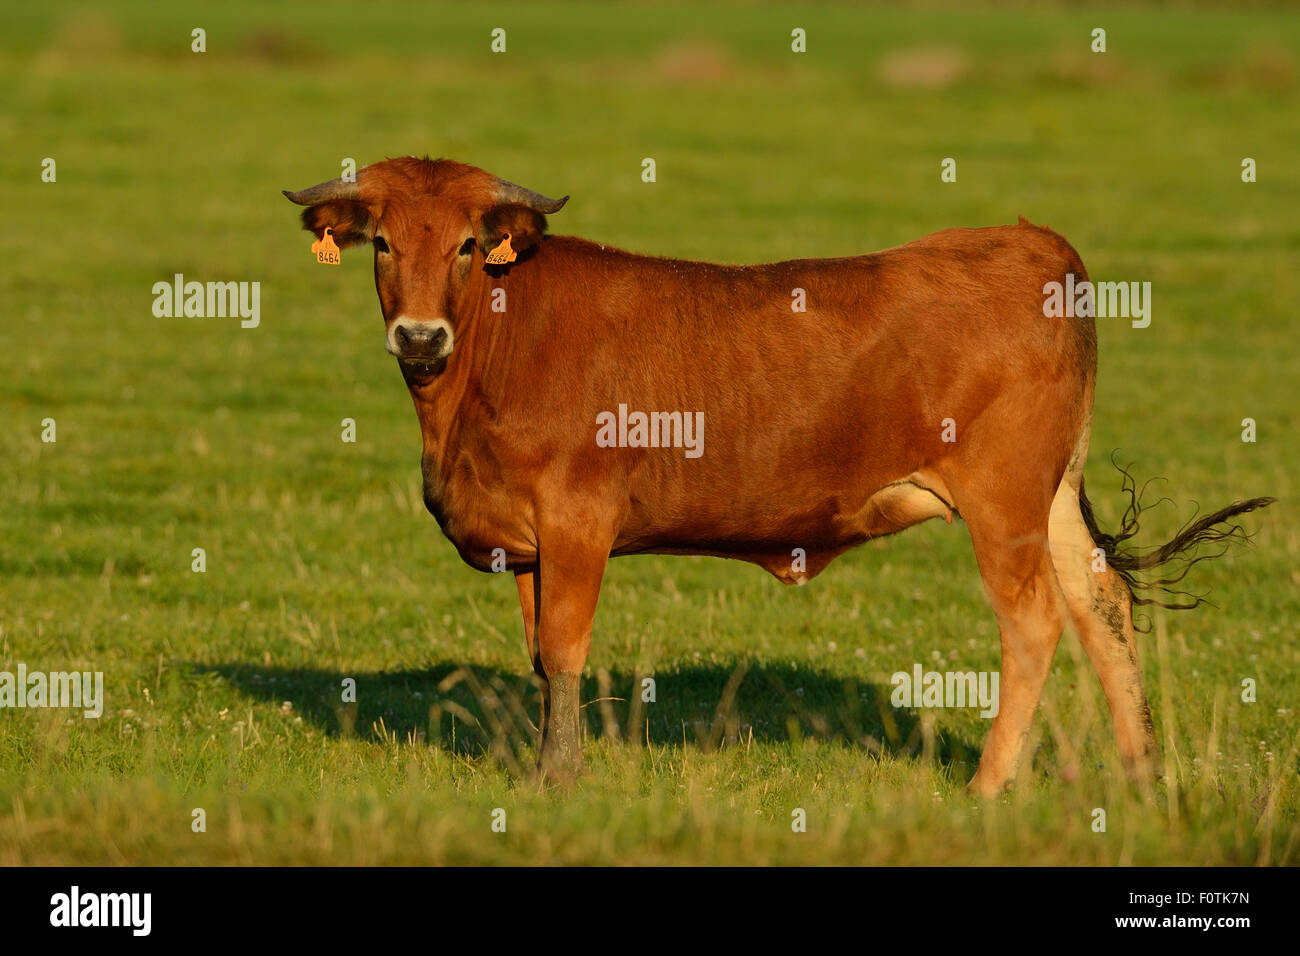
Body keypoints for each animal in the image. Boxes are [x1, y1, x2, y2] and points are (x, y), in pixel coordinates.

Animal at [283, 157, 1272, 795]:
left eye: (463, 246)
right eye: (381, 245)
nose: (419, 336)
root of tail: (1028, 242)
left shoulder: (575, 522)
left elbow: (562, 653)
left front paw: (558, 779)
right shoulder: (525, 543)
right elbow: (536, 657)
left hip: (1004, 499)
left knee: (1035, 623)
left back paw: (990, 788)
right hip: (1052, 495)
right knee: (1103, 605)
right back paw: (1141, 776)